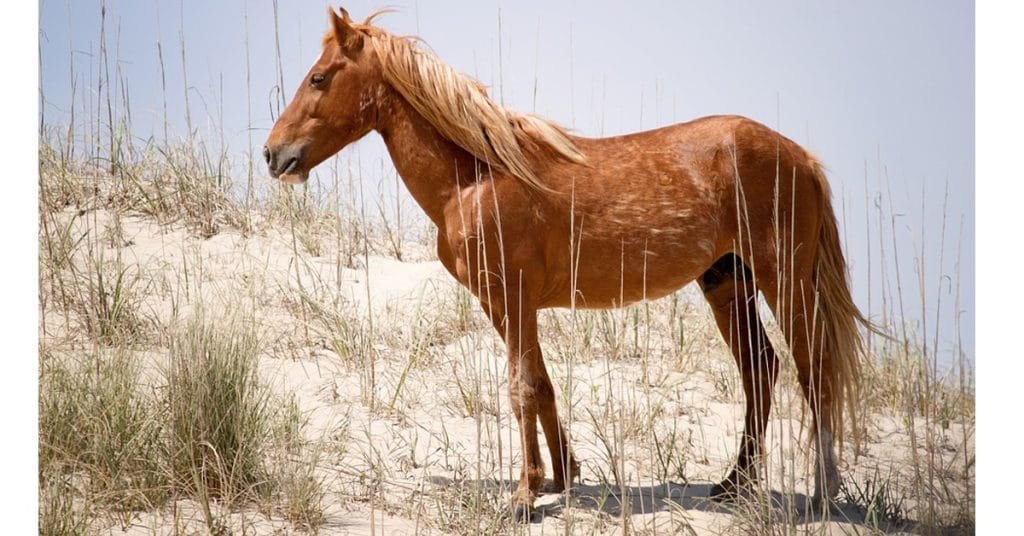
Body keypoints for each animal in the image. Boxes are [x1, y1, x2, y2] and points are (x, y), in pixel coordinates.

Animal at [264, 7, 871, 521]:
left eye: (319, 78)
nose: (274, 154)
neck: (476, 177)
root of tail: (801, 157)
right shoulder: (507, 305)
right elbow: (541, 384)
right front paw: (561, 477)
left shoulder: (512, 299)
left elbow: (521, 389)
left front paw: (524, 494)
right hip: (727, 283)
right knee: (761, 369)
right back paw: (733, 483)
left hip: (783, 281)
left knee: (813, 369)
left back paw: (823, 492)